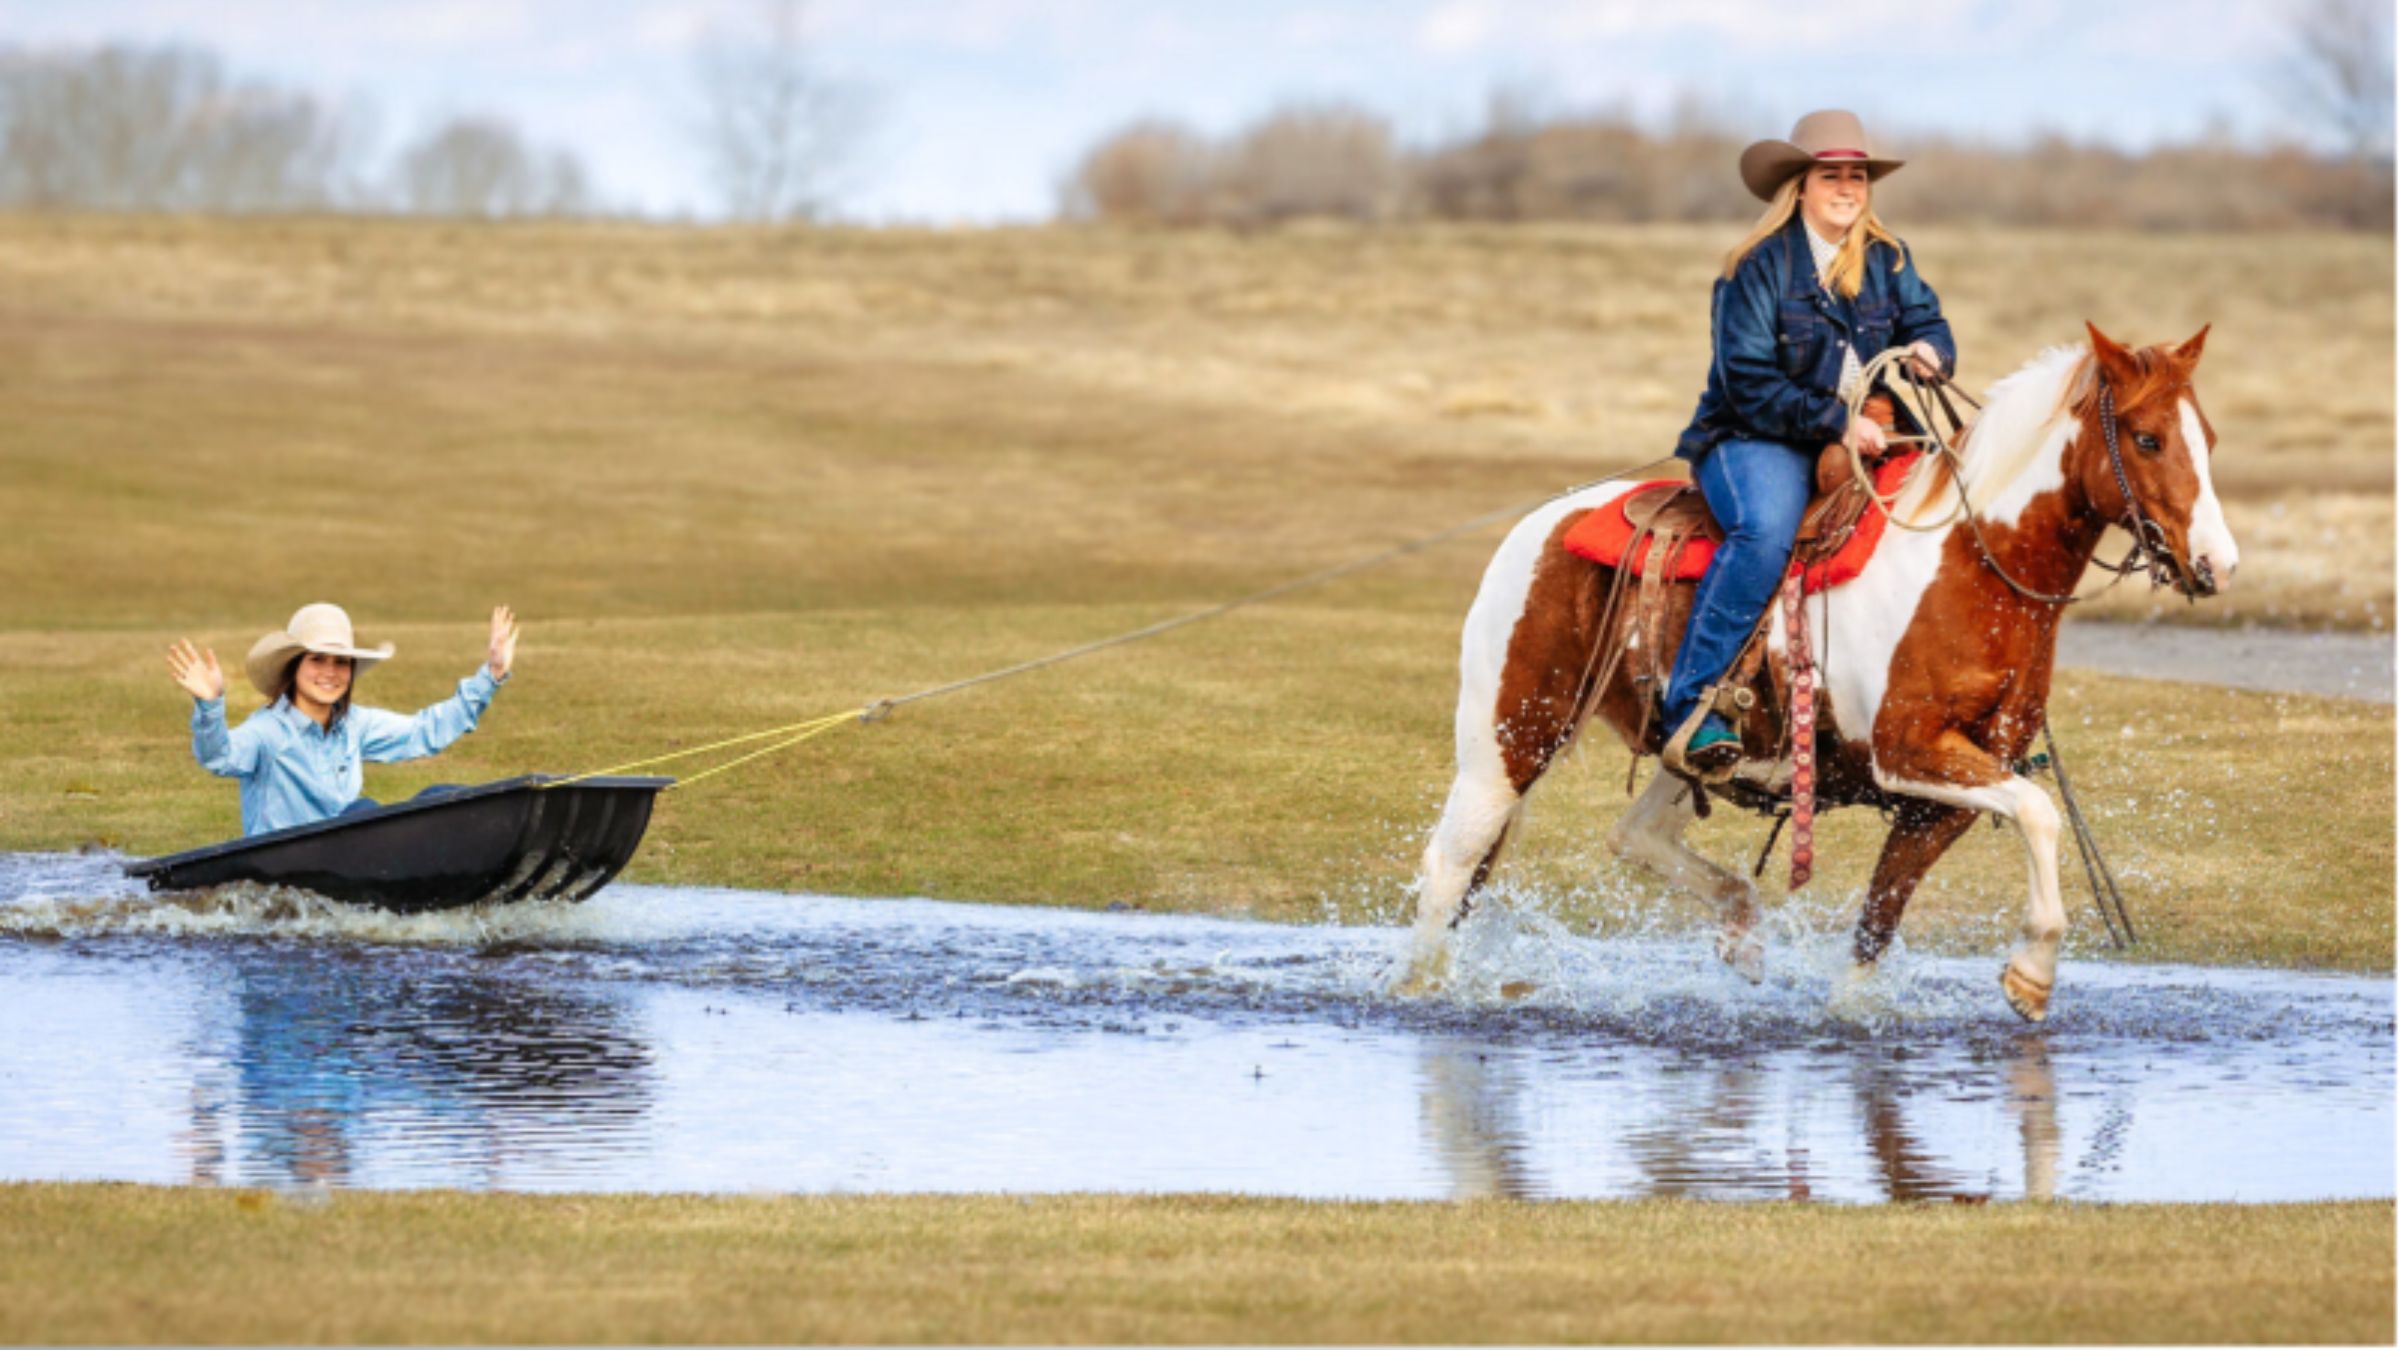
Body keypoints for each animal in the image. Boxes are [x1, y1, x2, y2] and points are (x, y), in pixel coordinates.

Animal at [1405, 324, 2236, 1021]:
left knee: (1633, 834)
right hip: (1510, 737)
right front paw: (2032, 972)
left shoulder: (1945, 795)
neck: (1973, 565)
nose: (2216, 565)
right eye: (2147, 438)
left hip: (1691, 748)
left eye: (2209, 439)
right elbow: (2039, 811)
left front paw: (1861, 1006)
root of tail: (1539, 527)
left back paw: (1741, 931)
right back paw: (1420, 990)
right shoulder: (1910, 751)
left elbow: (1881, 918)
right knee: (1452, 862)